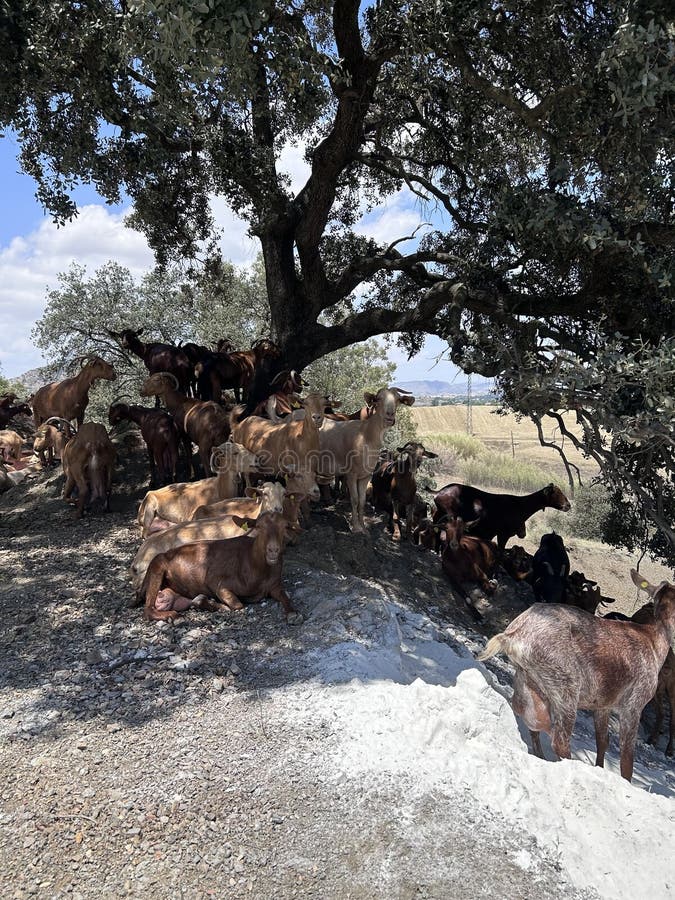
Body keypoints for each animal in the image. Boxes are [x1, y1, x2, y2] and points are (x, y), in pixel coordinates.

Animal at [137, 511, 299, 623]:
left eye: (285, 526)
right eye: (258, 526)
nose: (273, 550)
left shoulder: (275, 585)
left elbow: (285, 596)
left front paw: (293, 614)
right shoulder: (217, 583)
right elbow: (237, 605)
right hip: (157, 566)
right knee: (148, 610)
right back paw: (173, 616)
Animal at [317, 387, 415, 533]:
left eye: (398, 399)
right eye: (378, 399)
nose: (390, 416)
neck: (365, 435)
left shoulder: (365, 476)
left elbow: (362, 501)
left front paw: (363, 527)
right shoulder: (351, 474)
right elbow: (354, 499)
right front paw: (355, 527)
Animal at [433, 482, 571, 550]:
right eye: (557, 493)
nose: (568, 505)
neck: (520, 506)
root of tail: (440, 492)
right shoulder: (503, 535)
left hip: (438, 513)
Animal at [478, 568, 675, 781]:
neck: (654, 642)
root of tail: (512, 636)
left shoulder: (603, 703)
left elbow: (602, 740)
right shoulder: (634, 704)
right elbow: (627, 757)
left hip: (528, 680)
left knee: (531, 719)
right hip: (565, 685)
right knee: (558, 738)